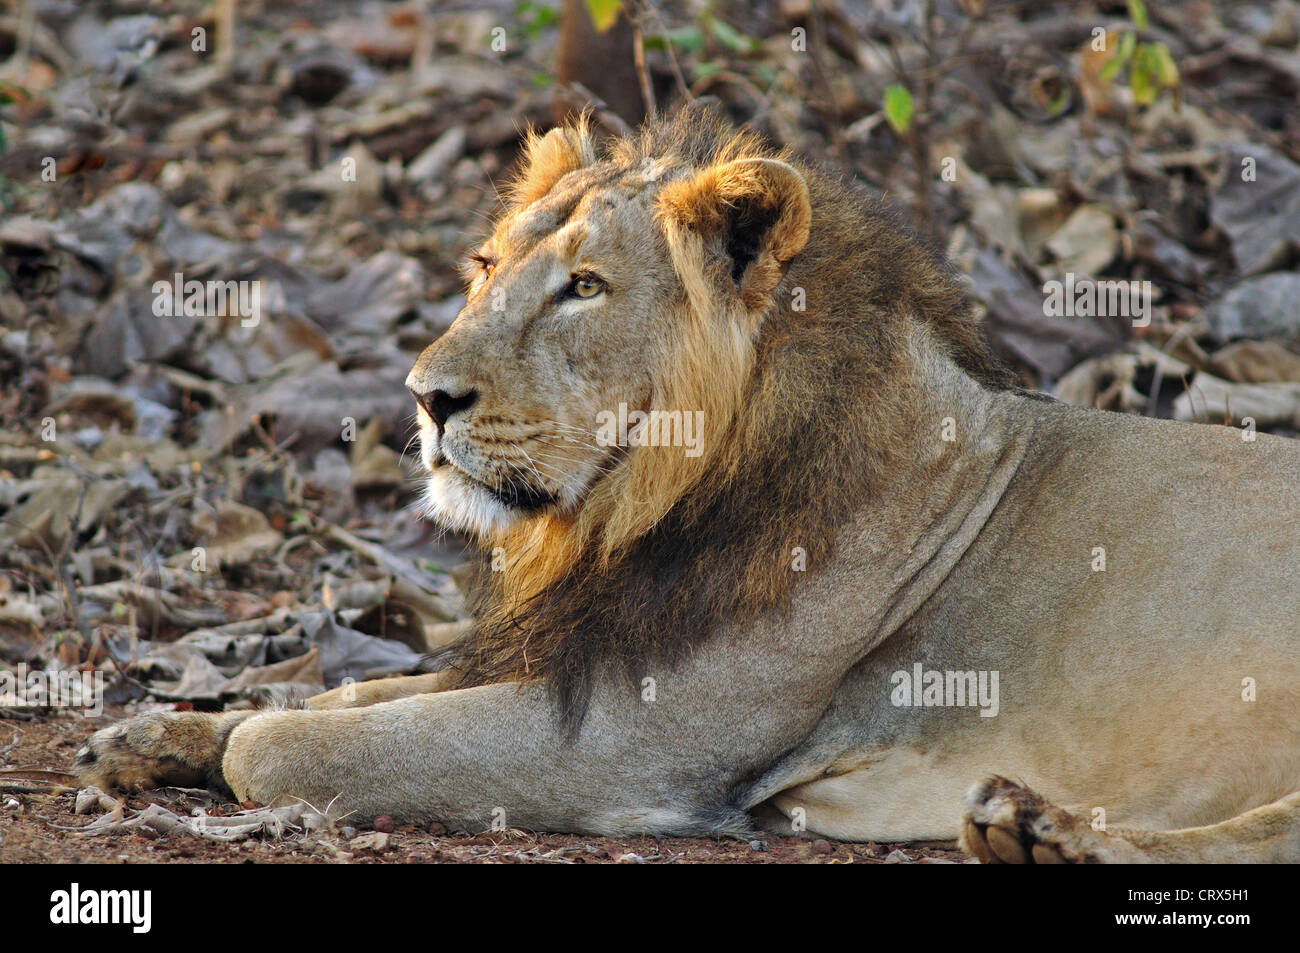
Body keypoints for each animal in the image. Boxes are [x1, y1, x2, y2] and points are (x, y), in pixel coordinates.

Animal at [75, 105, 1300, 863]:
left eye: (582, 287)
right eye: (486, 268)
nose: (424, 398)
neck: (626, 514)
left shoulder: (636, 740)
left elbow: (291, 746)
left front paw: (224, 740)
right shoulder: (581, 652)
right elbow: (348, 697)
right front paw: (152, 733)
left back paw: (1048, 831)